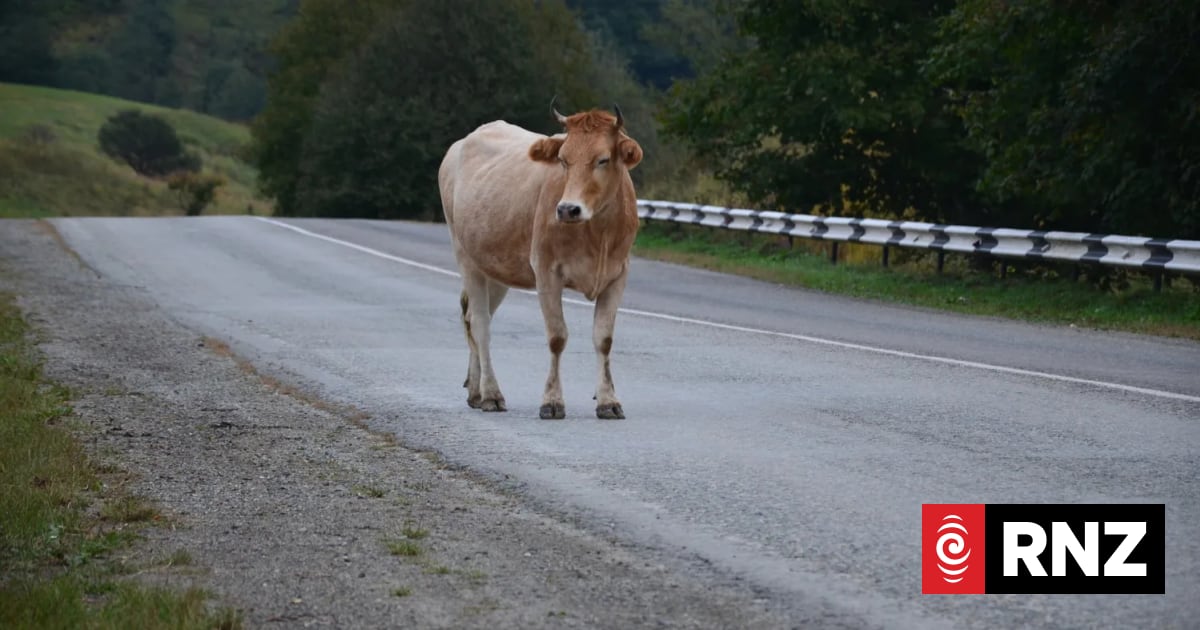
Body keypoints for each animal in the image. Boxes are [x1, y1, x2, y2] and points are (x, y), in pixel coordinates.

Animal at [438, 104, 643, 419]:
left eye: (603, 159)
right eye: (563, 160)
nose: (568, 209)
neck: (597, 233)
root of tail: (462, 143)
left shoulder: (618, 275)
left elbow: (604, 339)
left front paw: (608, 400)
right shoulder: (546, 272)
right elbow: (557, 337)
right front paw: (552, 402)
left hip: (496, 267)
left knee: (473, 317)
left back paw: (476, 391)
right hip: (465, 256)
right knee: (481, 324)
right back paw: (491, 394)